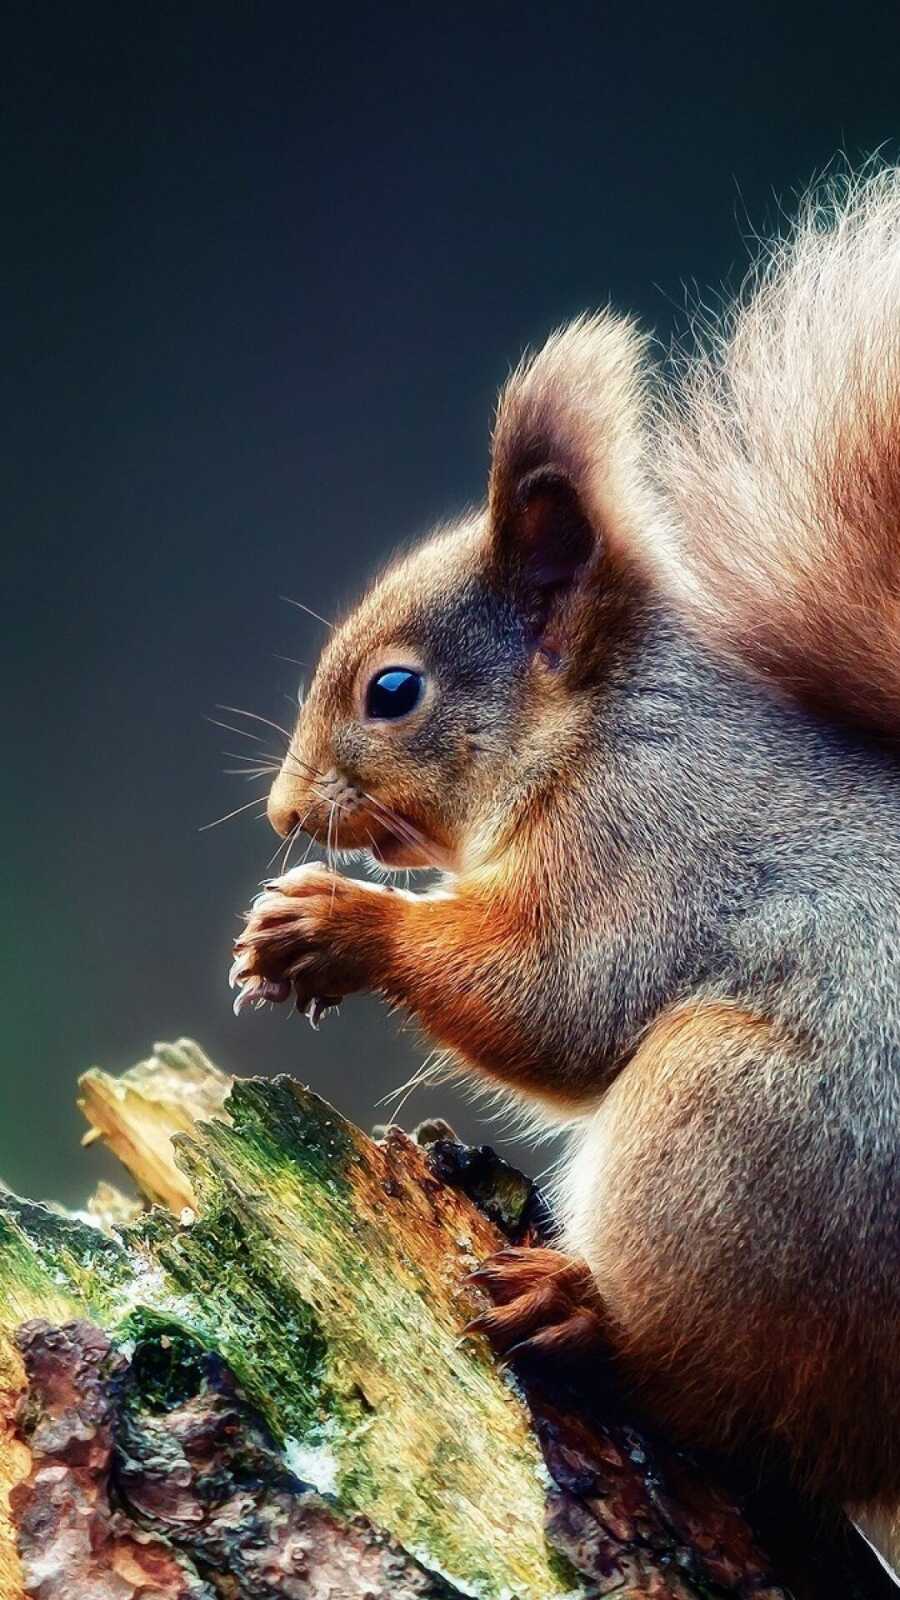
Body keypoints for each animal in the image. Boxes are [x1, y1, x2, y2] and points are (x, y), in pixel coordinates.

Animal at [229, 168, 900, 1540]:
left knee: (740, 1401)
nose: (281, 811)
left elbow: (560, 997)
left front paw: (334, 924)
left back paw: (579, 1316)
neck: (597, 722)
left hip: (739, 1132)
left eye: (393, 691)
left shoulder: (650, 839)